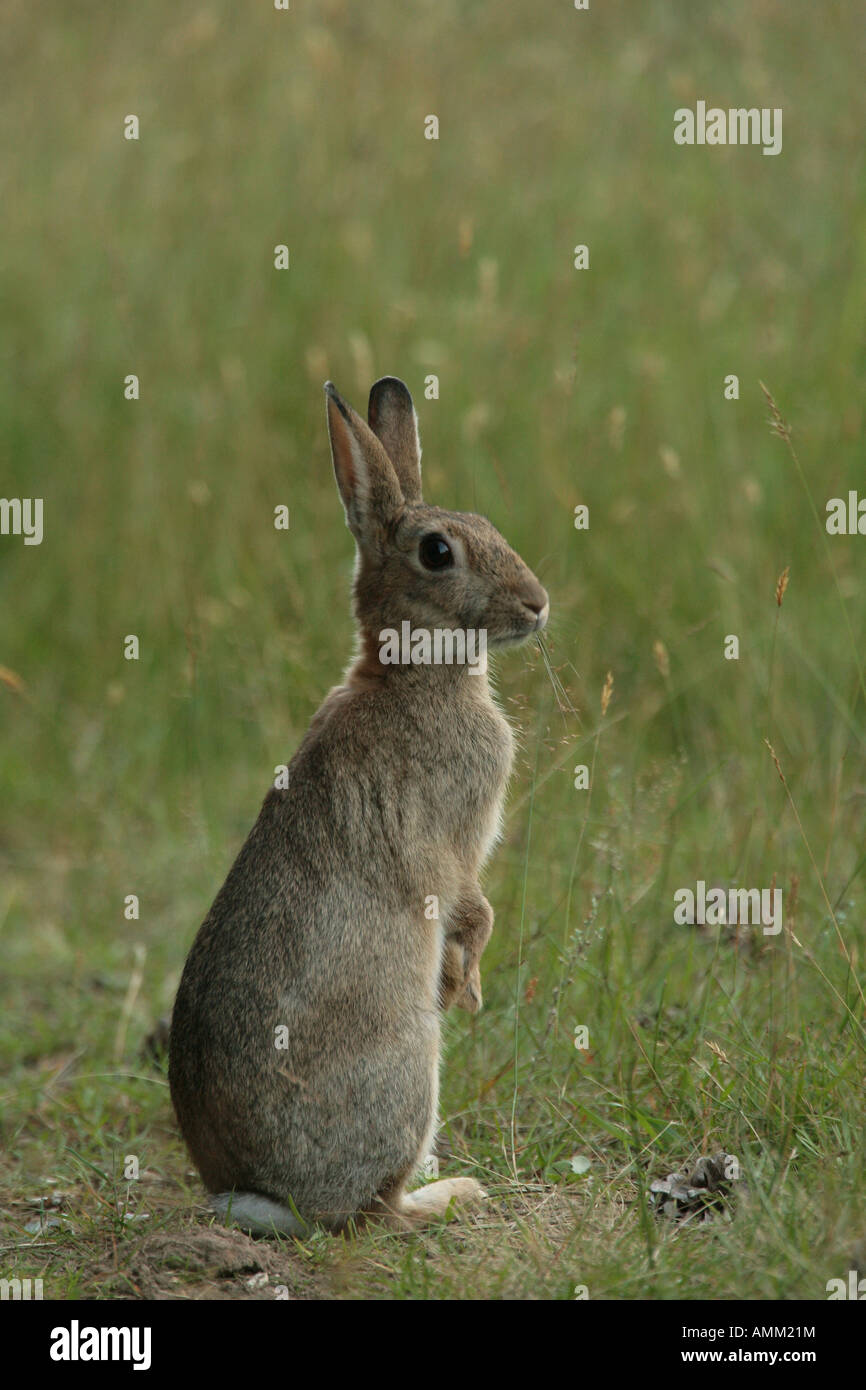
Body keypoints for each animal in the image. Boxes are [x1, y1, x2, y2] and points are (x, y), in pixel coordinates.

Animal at [168, 376, 549, 1237]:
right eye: (439, 551)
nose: (538, 604)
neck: (409, 674)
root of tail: (267, 1194)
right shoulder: (447, 840)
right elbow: (469, 907)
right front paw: (469, 988)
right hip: (408, 1073)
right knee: (377, 1214)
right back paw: (453, 1195)